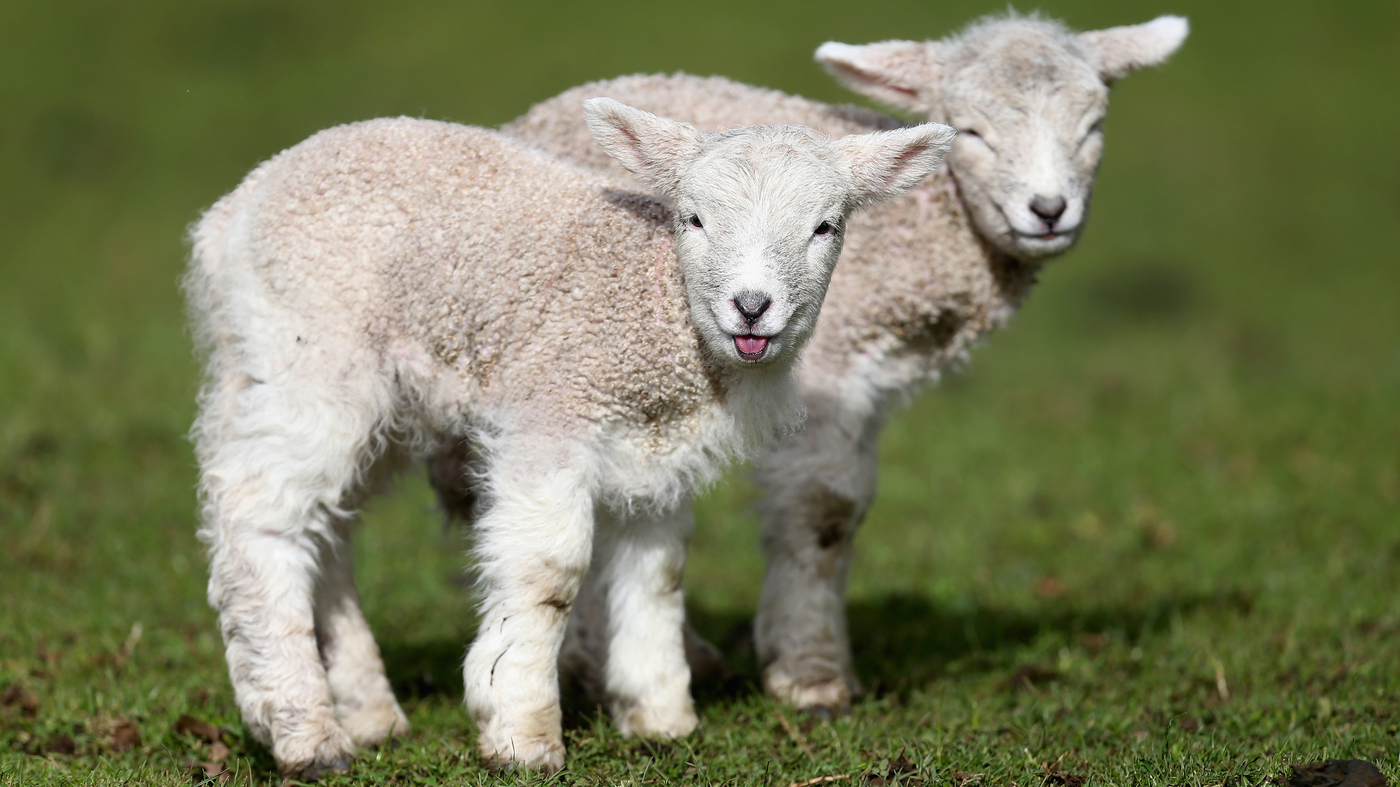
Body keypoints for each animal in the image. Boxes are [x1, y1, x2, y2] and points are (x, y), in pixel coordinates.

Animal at [185, 97, 953, 777]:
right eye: (694, 218)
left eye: (826, 226)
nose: (753, 307)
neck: (652, 306)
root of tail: (227, 216)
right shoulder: (549, 414)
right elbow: (548, 573)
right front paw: (519, 730)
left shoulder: (658, 451)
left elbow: (658, 571)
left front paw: (659, 715)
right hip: (309, 356)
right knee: (260, 514)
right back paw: (304, 732)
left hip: (357, 390)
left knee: (327, 525)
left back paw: (368, 712)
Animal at [498, 12, 1188, 714]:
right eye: (971, 131)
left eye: (1094, 127)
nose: (1049, 211)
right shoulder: (827, 371)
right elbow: (824, 509)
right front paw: (811, 673)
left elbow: (849, 504)